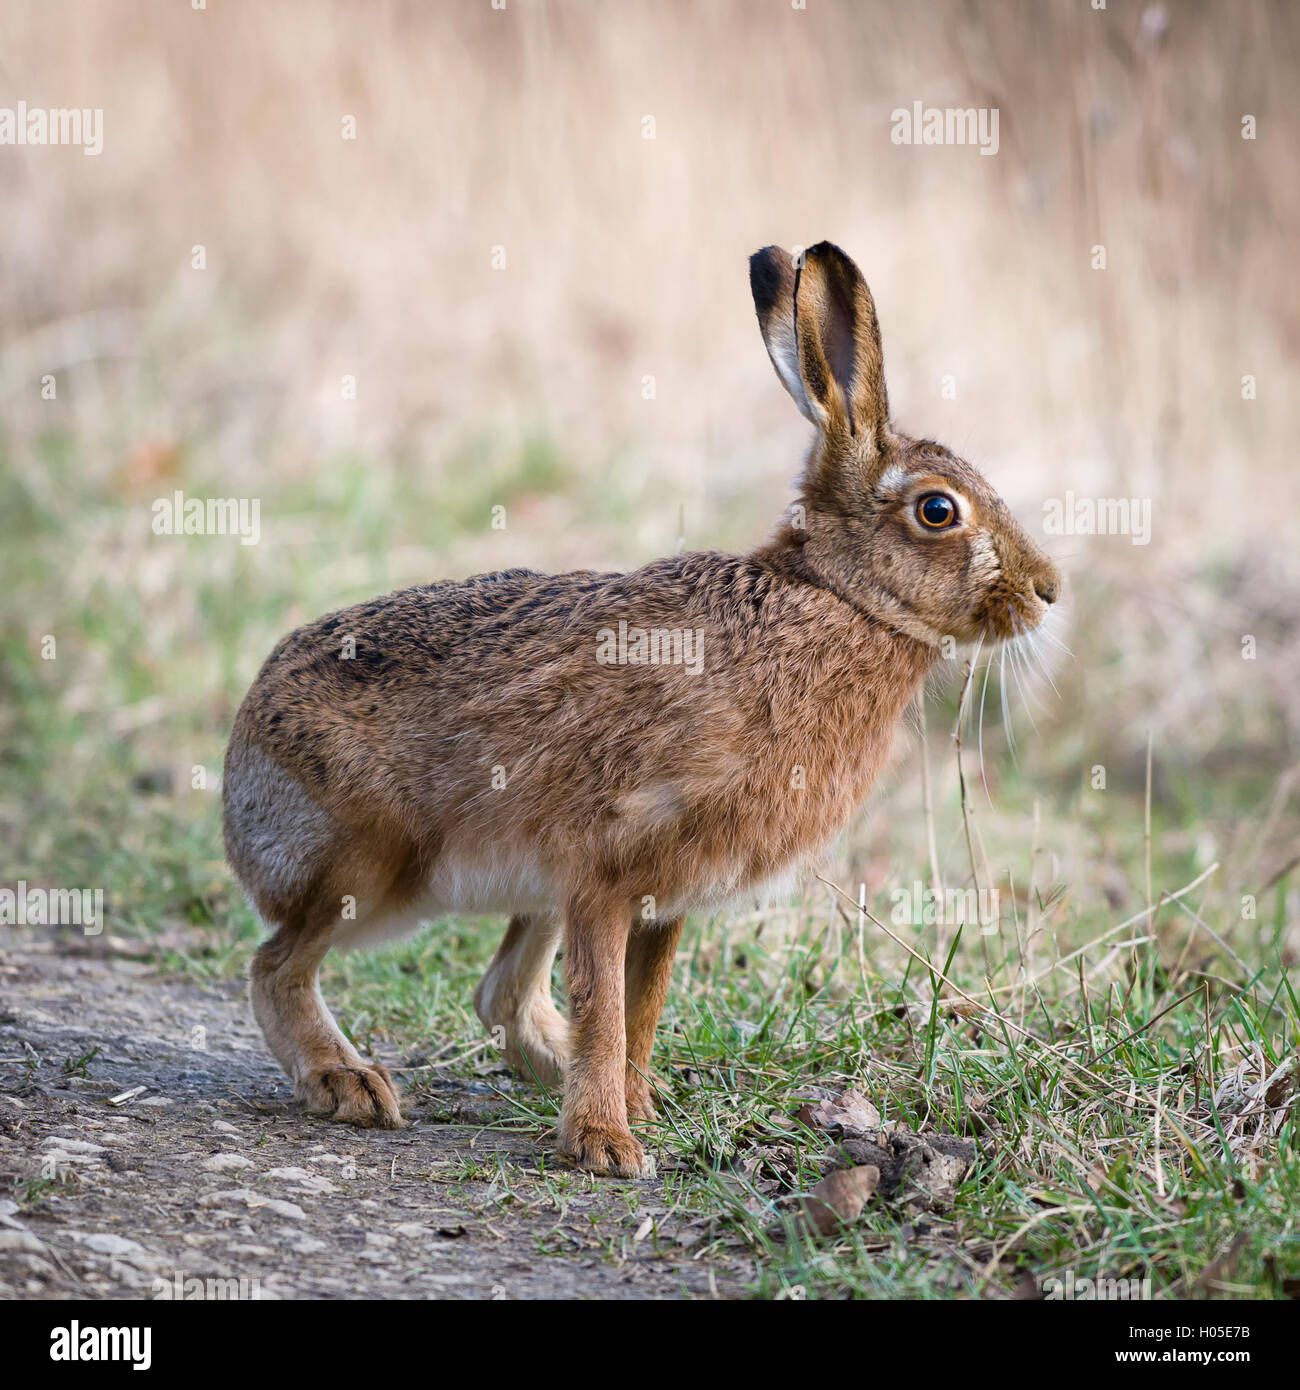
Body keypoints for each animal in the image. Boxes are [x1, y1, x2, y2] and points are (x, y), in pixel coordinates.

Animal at [223, 241, 1060, 1178]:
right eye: (938, 510)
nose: (1047, 591)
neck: (833, 600)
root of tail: (239, 757)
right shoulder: (605, 872)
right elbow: (607, 1002)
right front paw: (606, 1144)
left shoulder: (662, 900)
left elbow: (641, 1006)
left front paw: (637, 1108)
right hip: (370, 870)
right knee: (277, 965)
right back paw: (349, 1083)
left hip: (519, 886)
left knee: (501, 995)